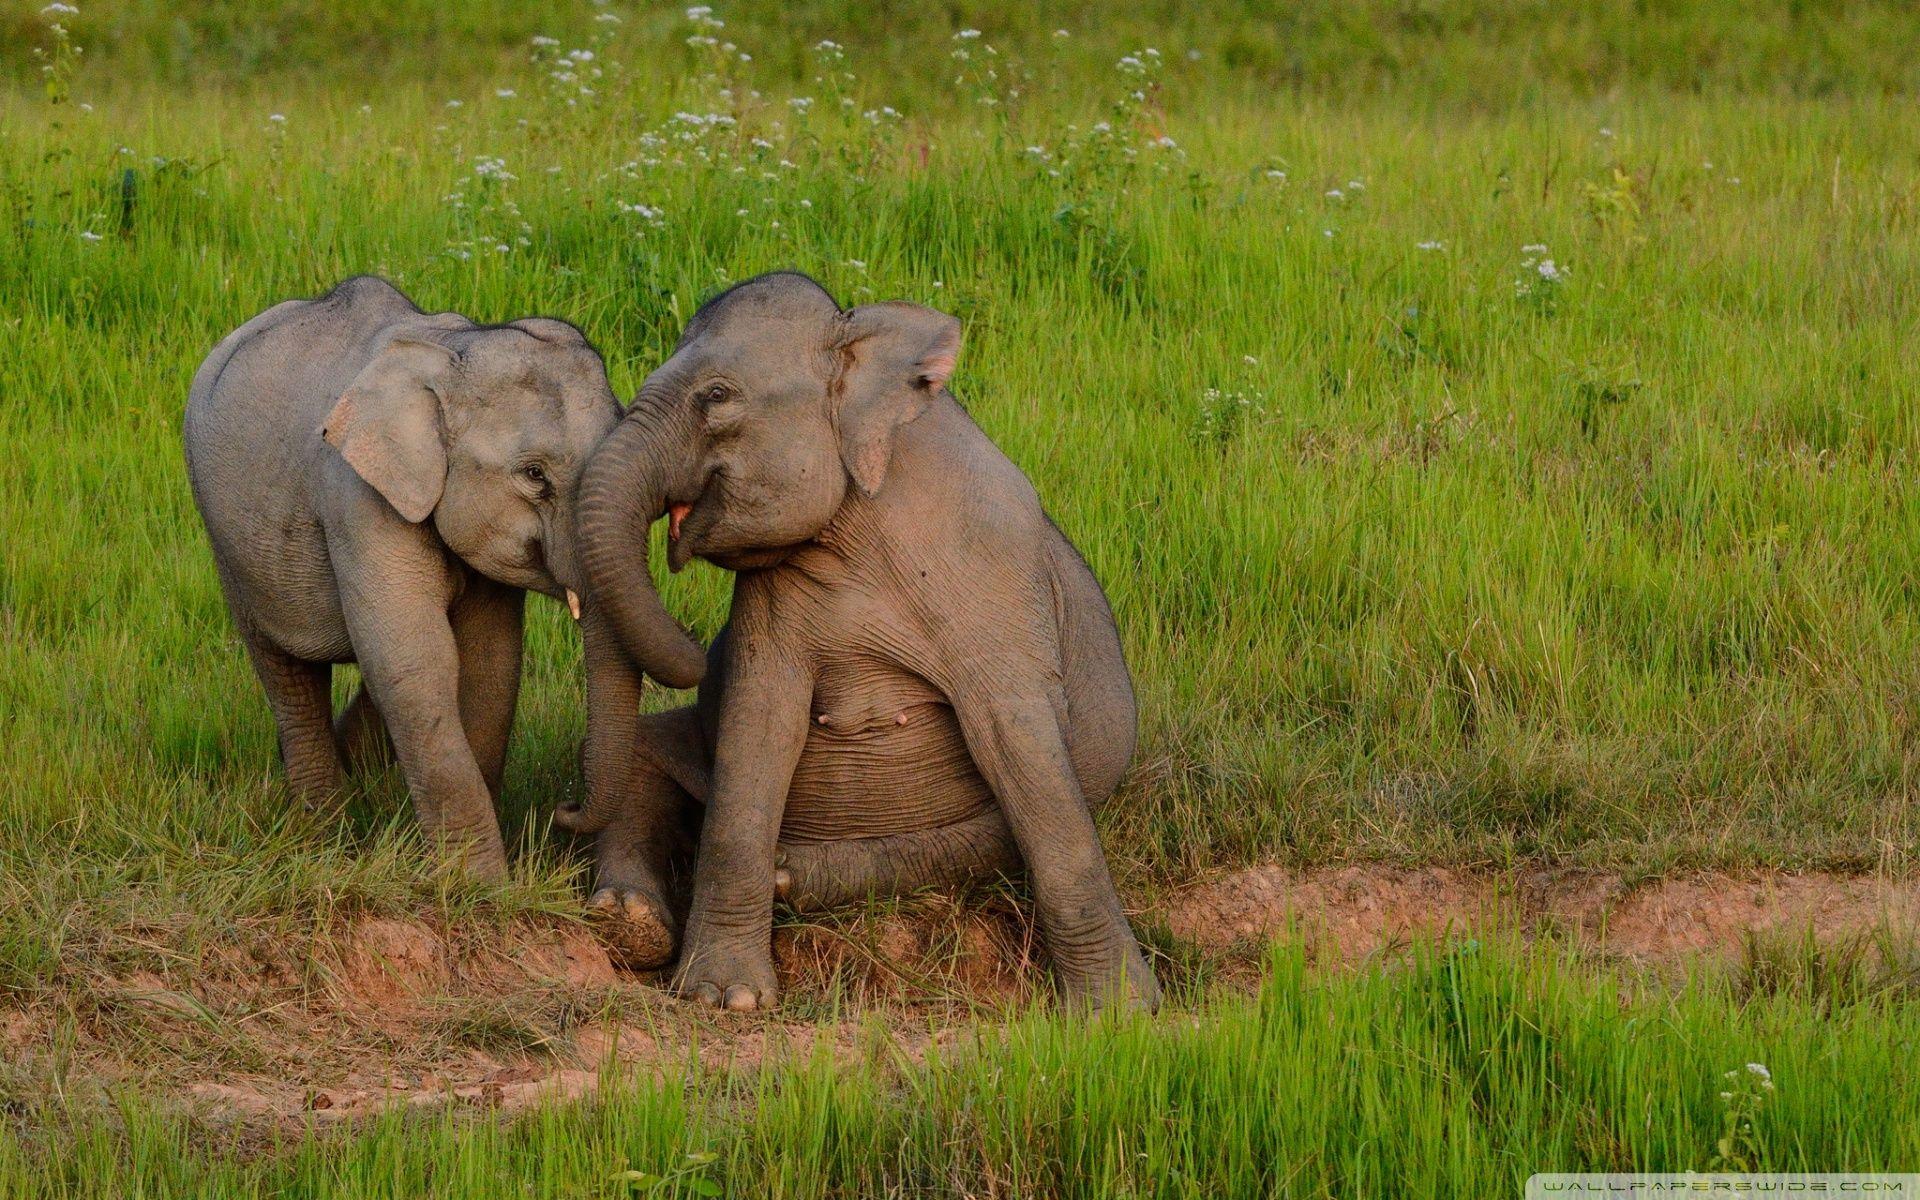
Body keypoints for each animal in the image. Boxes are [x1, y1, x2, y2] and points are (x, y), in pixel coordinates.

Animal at [184, 276, 702, 881]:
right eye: (534, 475)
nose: (565, 806)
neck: (453, 353)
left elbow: (487, 661)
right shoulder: (356, 497)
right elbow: (417, 662)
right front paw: (481, 887)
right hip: (228, 541)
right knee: (286, 669)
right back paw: (323, 827)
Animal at [558, 270, 1160, 1012]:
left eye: (717, 397)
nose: (700, 649)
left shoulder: (994, 570)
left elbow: (1022, 746)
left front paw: (1119, 1013)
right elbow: (757, 732)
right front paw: (724, 999)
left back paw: (788, 876)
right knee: (641, 754)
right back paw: (630, 920)